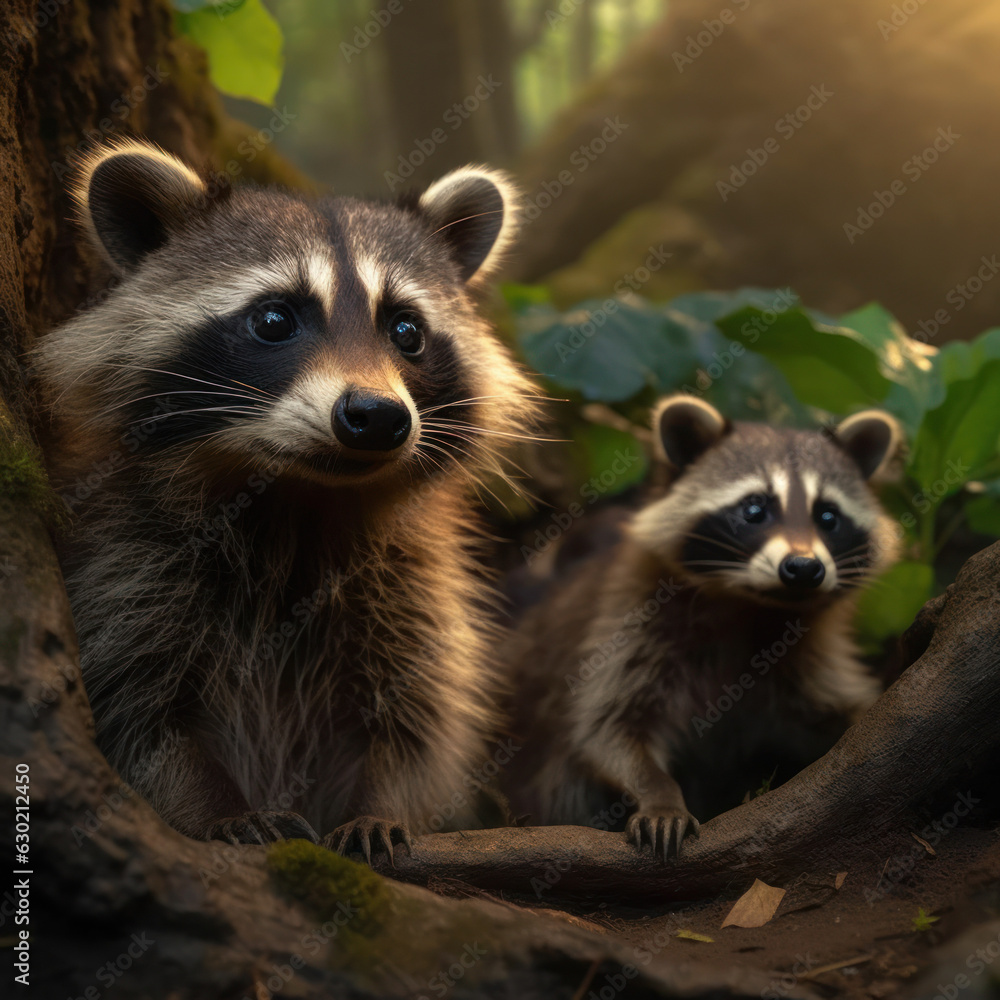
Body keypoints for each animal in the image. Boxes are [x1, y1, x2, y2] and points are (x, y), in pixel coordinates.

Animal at [33, 140, 538, 860]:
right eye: (275, 319)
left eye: (406, 331)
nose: (378, 417)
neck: (299, 498)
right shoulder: (127, 556)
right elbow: (140, 713)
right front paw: (218, 808)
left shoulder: (411, 583)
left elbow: (415, 722)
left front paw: (381, 808)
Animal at [503, 395, 900, 859]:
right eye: (754, 509)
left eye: (828, 516)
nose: (803, 567)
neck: (749, 606)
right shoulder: (626, 623)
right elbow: (607, 730)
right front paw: (659, 794)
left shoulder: (809, 661)